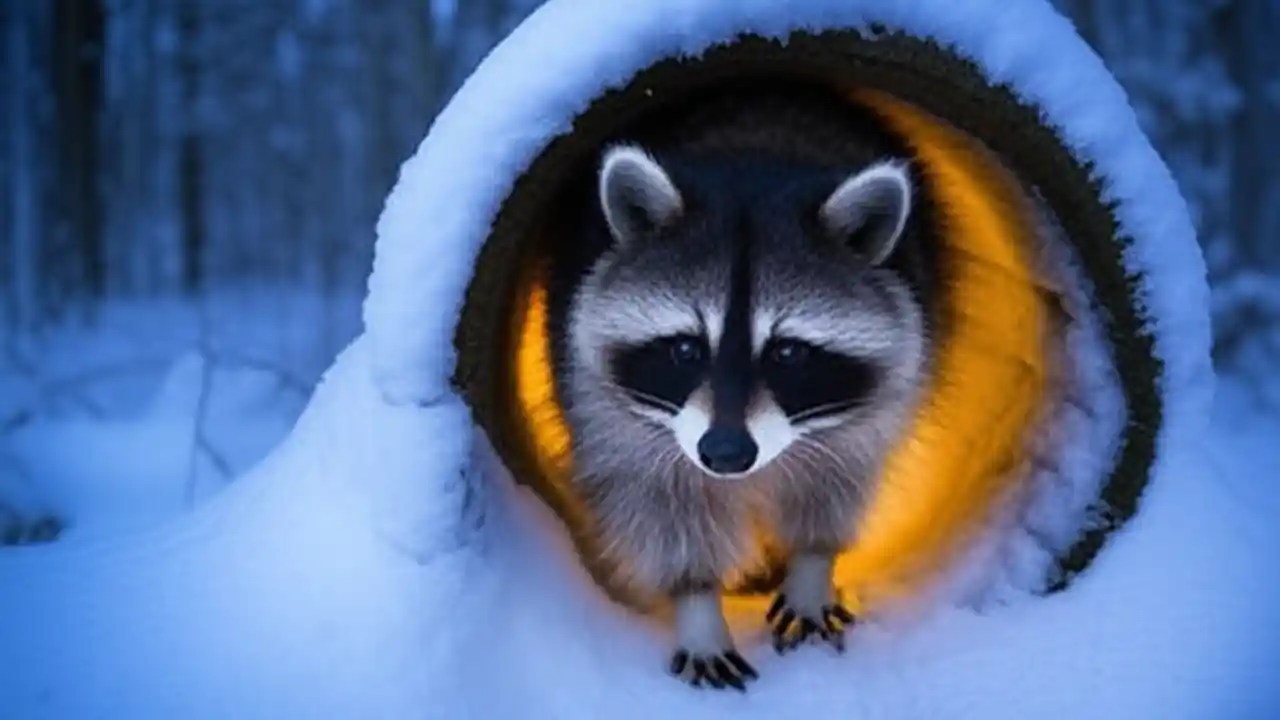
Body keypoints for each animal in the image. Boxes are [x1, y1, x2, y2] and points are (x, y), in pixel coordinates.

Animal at [545, 84, 938, 689]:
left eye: (788, 353)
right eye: (686, 349)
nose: (726, 453)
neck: (751, 161)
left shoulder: (874, 407)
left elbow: (838, 481)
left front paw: (811, 563)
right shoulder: (602, 406)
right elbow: (660, 504)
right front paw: (699, 605)